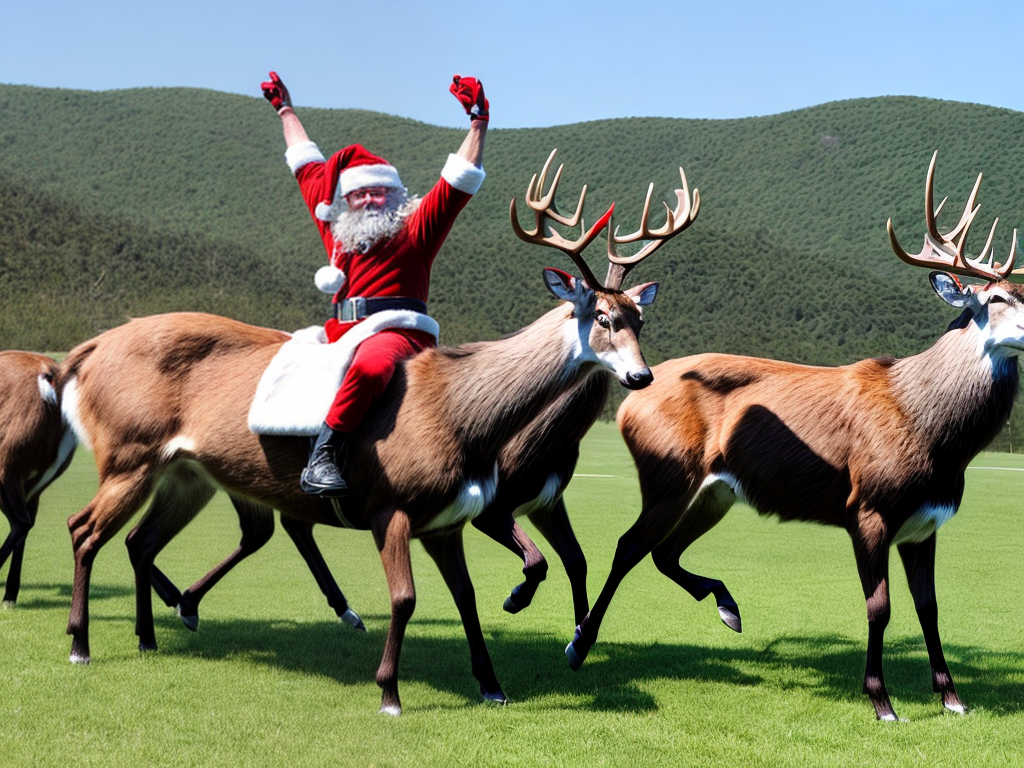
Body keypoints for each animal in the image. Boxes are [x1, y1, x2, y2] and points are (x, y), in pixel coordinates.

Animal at [56, 152, 686, 715]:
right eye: (600, 317)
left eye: (639, 318)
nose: (642, 376)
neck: (460, 419)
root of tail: (87, 349)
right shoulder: (392, 504)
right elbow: (405, 599)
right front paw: (389, 692)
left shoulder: (448, 520)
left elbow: (467, 597)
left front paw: (491, 684)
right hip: (129, 453)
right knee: (83, 529)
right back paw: (82, 642)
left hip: (186, 473)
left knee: (138, 540)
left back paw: (149, 635)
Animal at [563, 151, 1024, 721]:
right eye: (998, 295)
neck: (935, 438)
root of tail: (631, 395)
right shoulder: (866, 507)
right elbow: (880, 606)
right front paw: (882, 701)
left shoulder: (926, 522)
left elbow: (931, 607)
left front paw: (953, 698)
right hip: (667, 472)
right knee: (629, 545)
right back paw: (579, 645)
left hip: (715, 492)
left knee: (663, 552)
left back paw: (728, 608)